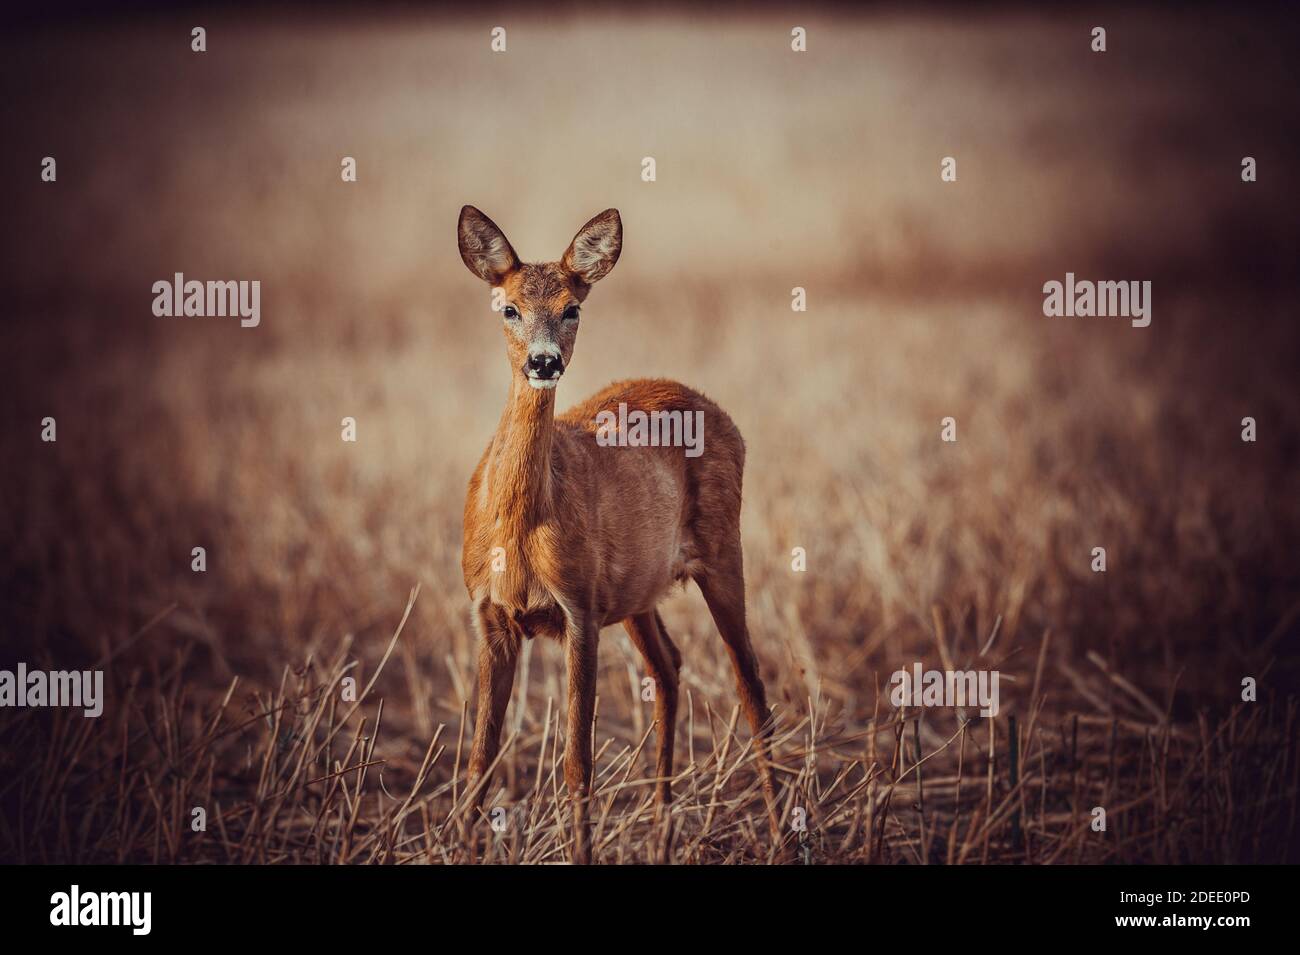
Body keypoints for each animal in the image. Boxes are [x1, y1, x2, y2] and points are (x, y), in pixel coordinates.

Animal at [457, 205, 779, 864]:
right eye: (508, 308)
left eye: (572, 308)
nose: (544, 362)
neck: (518, 529)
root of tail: (719, 411)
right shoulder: (491, 616)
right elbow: (479, 761)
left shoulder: (579, 609)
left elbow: (577, 763)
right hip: (637, 593)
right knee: (670, 667)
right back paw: (661, 832)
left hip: (722, 552)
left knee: (751, 686)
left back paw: (787, 837)